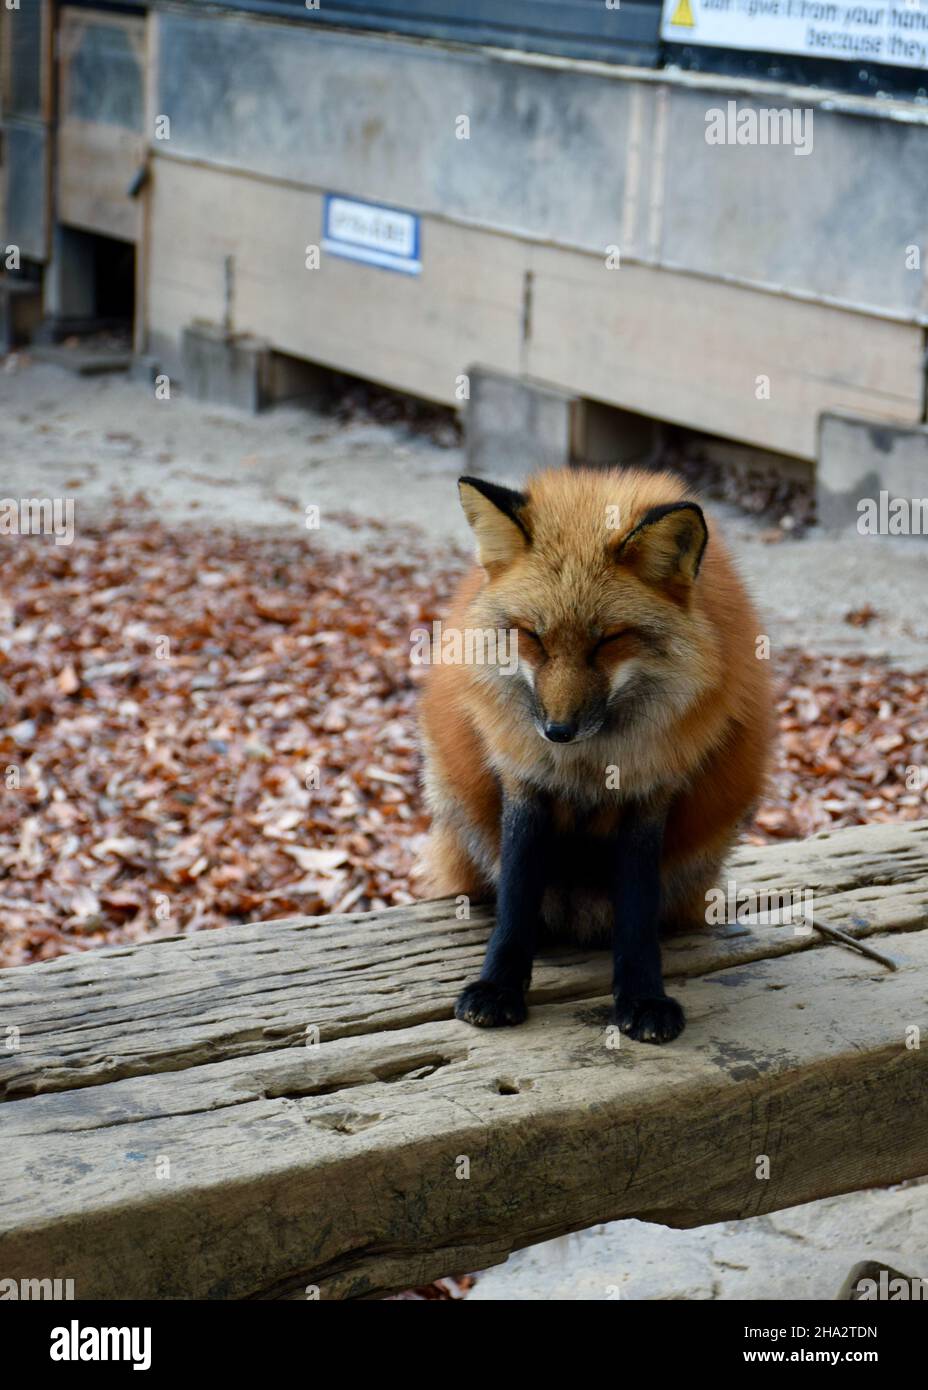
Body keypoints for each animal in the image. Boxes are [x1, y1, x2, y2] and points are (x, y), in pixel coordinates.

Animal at [419, 466, 773, 1044]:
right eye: (532, 636)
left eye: (607, 641)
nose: (557, 731)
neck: (587, 766)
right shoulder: (525, 782)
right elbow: (515, 899)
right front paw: (499, 986)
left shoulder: (649, 795)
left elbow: (636, 913)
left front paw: (643, 997)